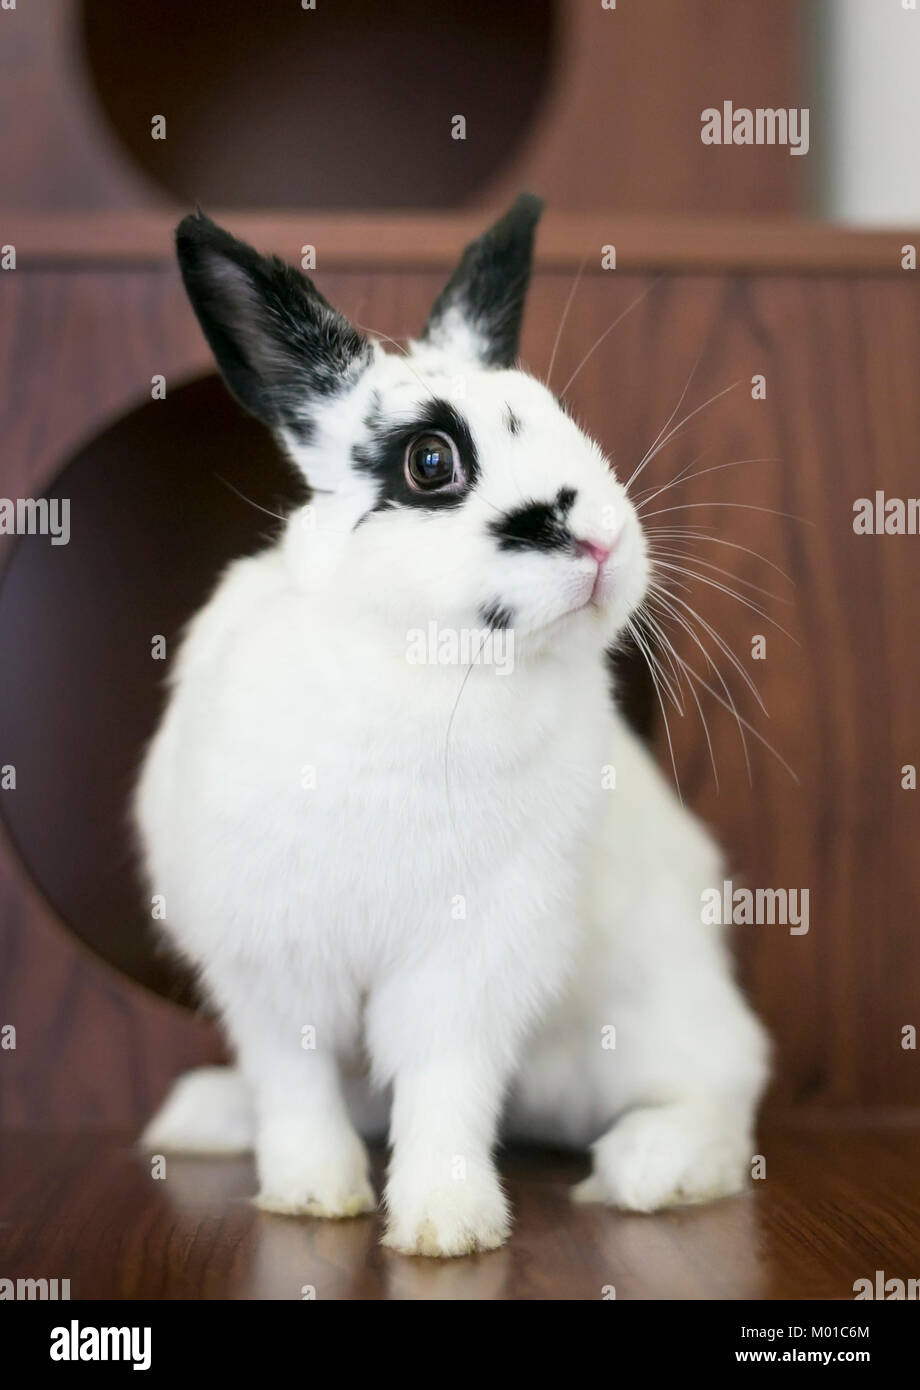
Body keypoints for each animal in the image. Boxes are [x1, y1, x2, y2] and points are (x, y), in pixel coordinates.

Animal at [136, 196, 769, 1256]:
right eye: (430, 462)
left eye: (566, 422)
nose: (604, 541)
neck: (430, 666)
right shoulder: (272, 962)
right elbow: (296, 1085)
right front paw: (311, 1194)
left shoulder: (471, 960)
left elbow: (444, 1088)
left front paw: (446, 1225)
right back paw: (199, 1117)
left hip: (658, 1016)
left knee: (725, 1091)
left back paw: (651, 1170)